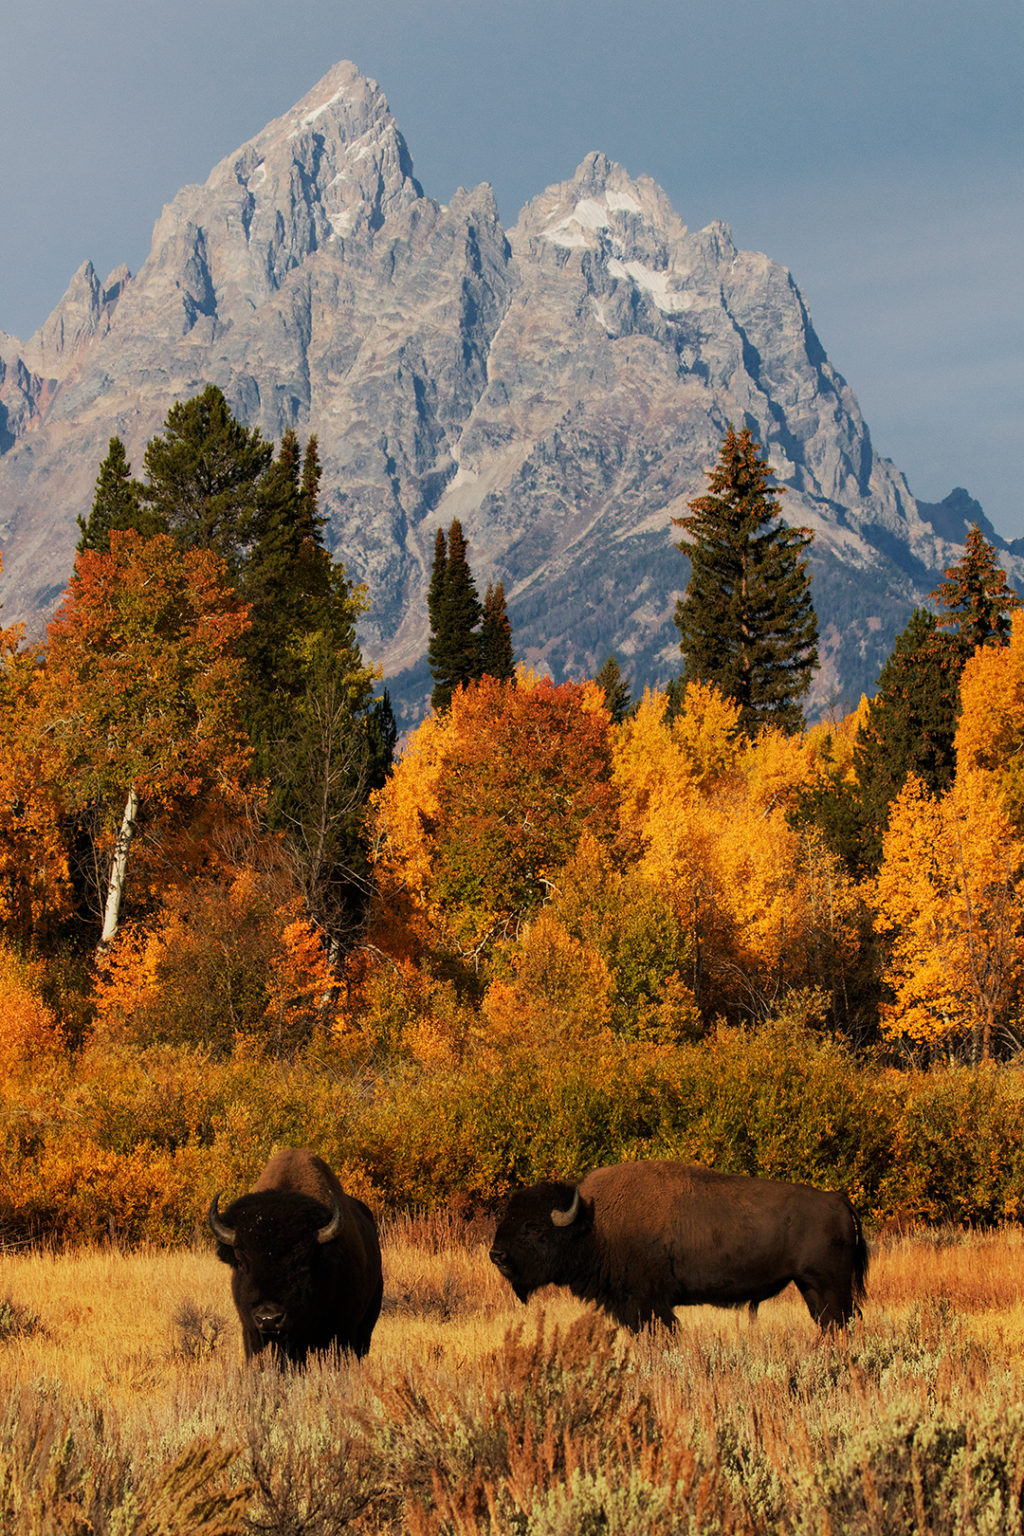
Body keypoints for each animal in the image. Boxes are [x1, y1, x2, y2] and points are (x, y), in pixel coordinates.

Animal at [490, 1159, 868, 1332]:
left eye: (533, 1226)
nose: (497, 1255)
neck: (593, 1223)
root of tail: (836, 1199)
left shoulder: (648, 1304)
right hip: (811, 1288)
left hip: (829, 1286)